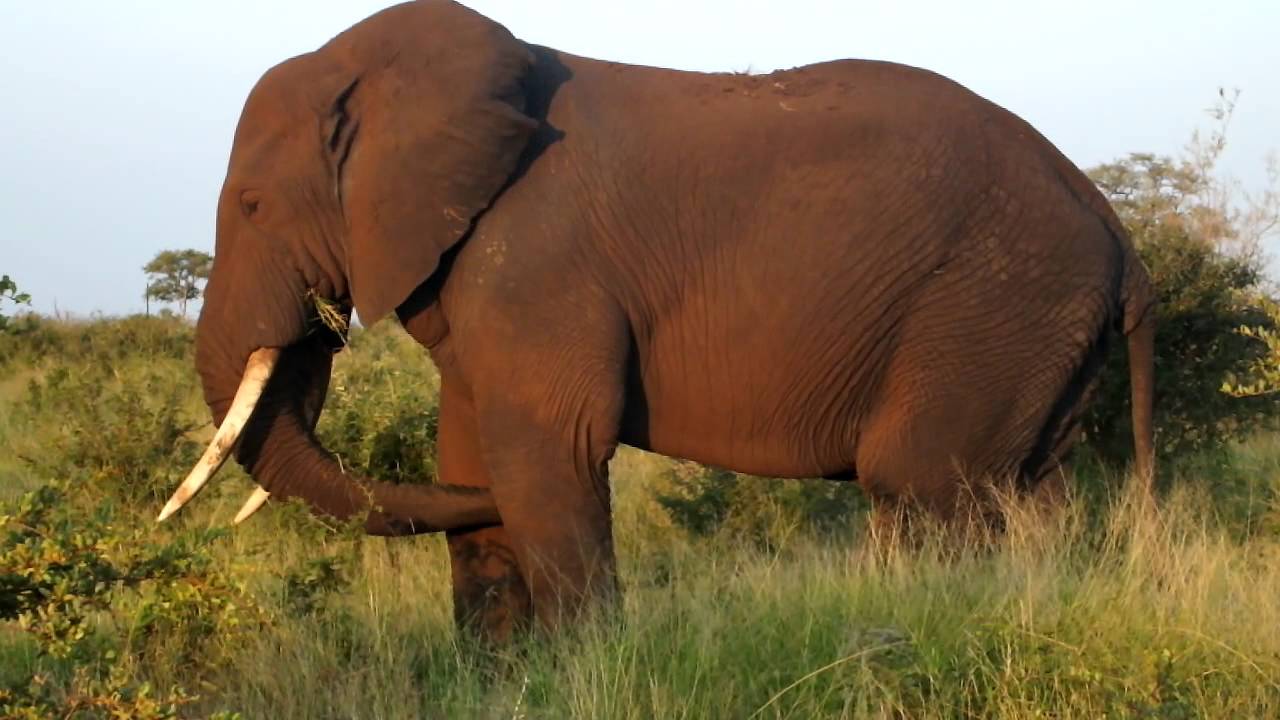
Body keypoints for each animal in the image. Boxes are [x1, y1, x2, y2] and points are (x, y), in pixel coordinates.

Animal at [160, 0, 1155, 640]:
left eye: (251, 205)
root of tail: (1118, 235)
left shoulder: (536, 253)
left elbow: (548, 447)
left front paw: (581, 672)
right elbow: (469, 452)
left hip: (992, 301)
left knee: (917, 484)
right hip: (1039, 329)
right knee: (1032, 492)